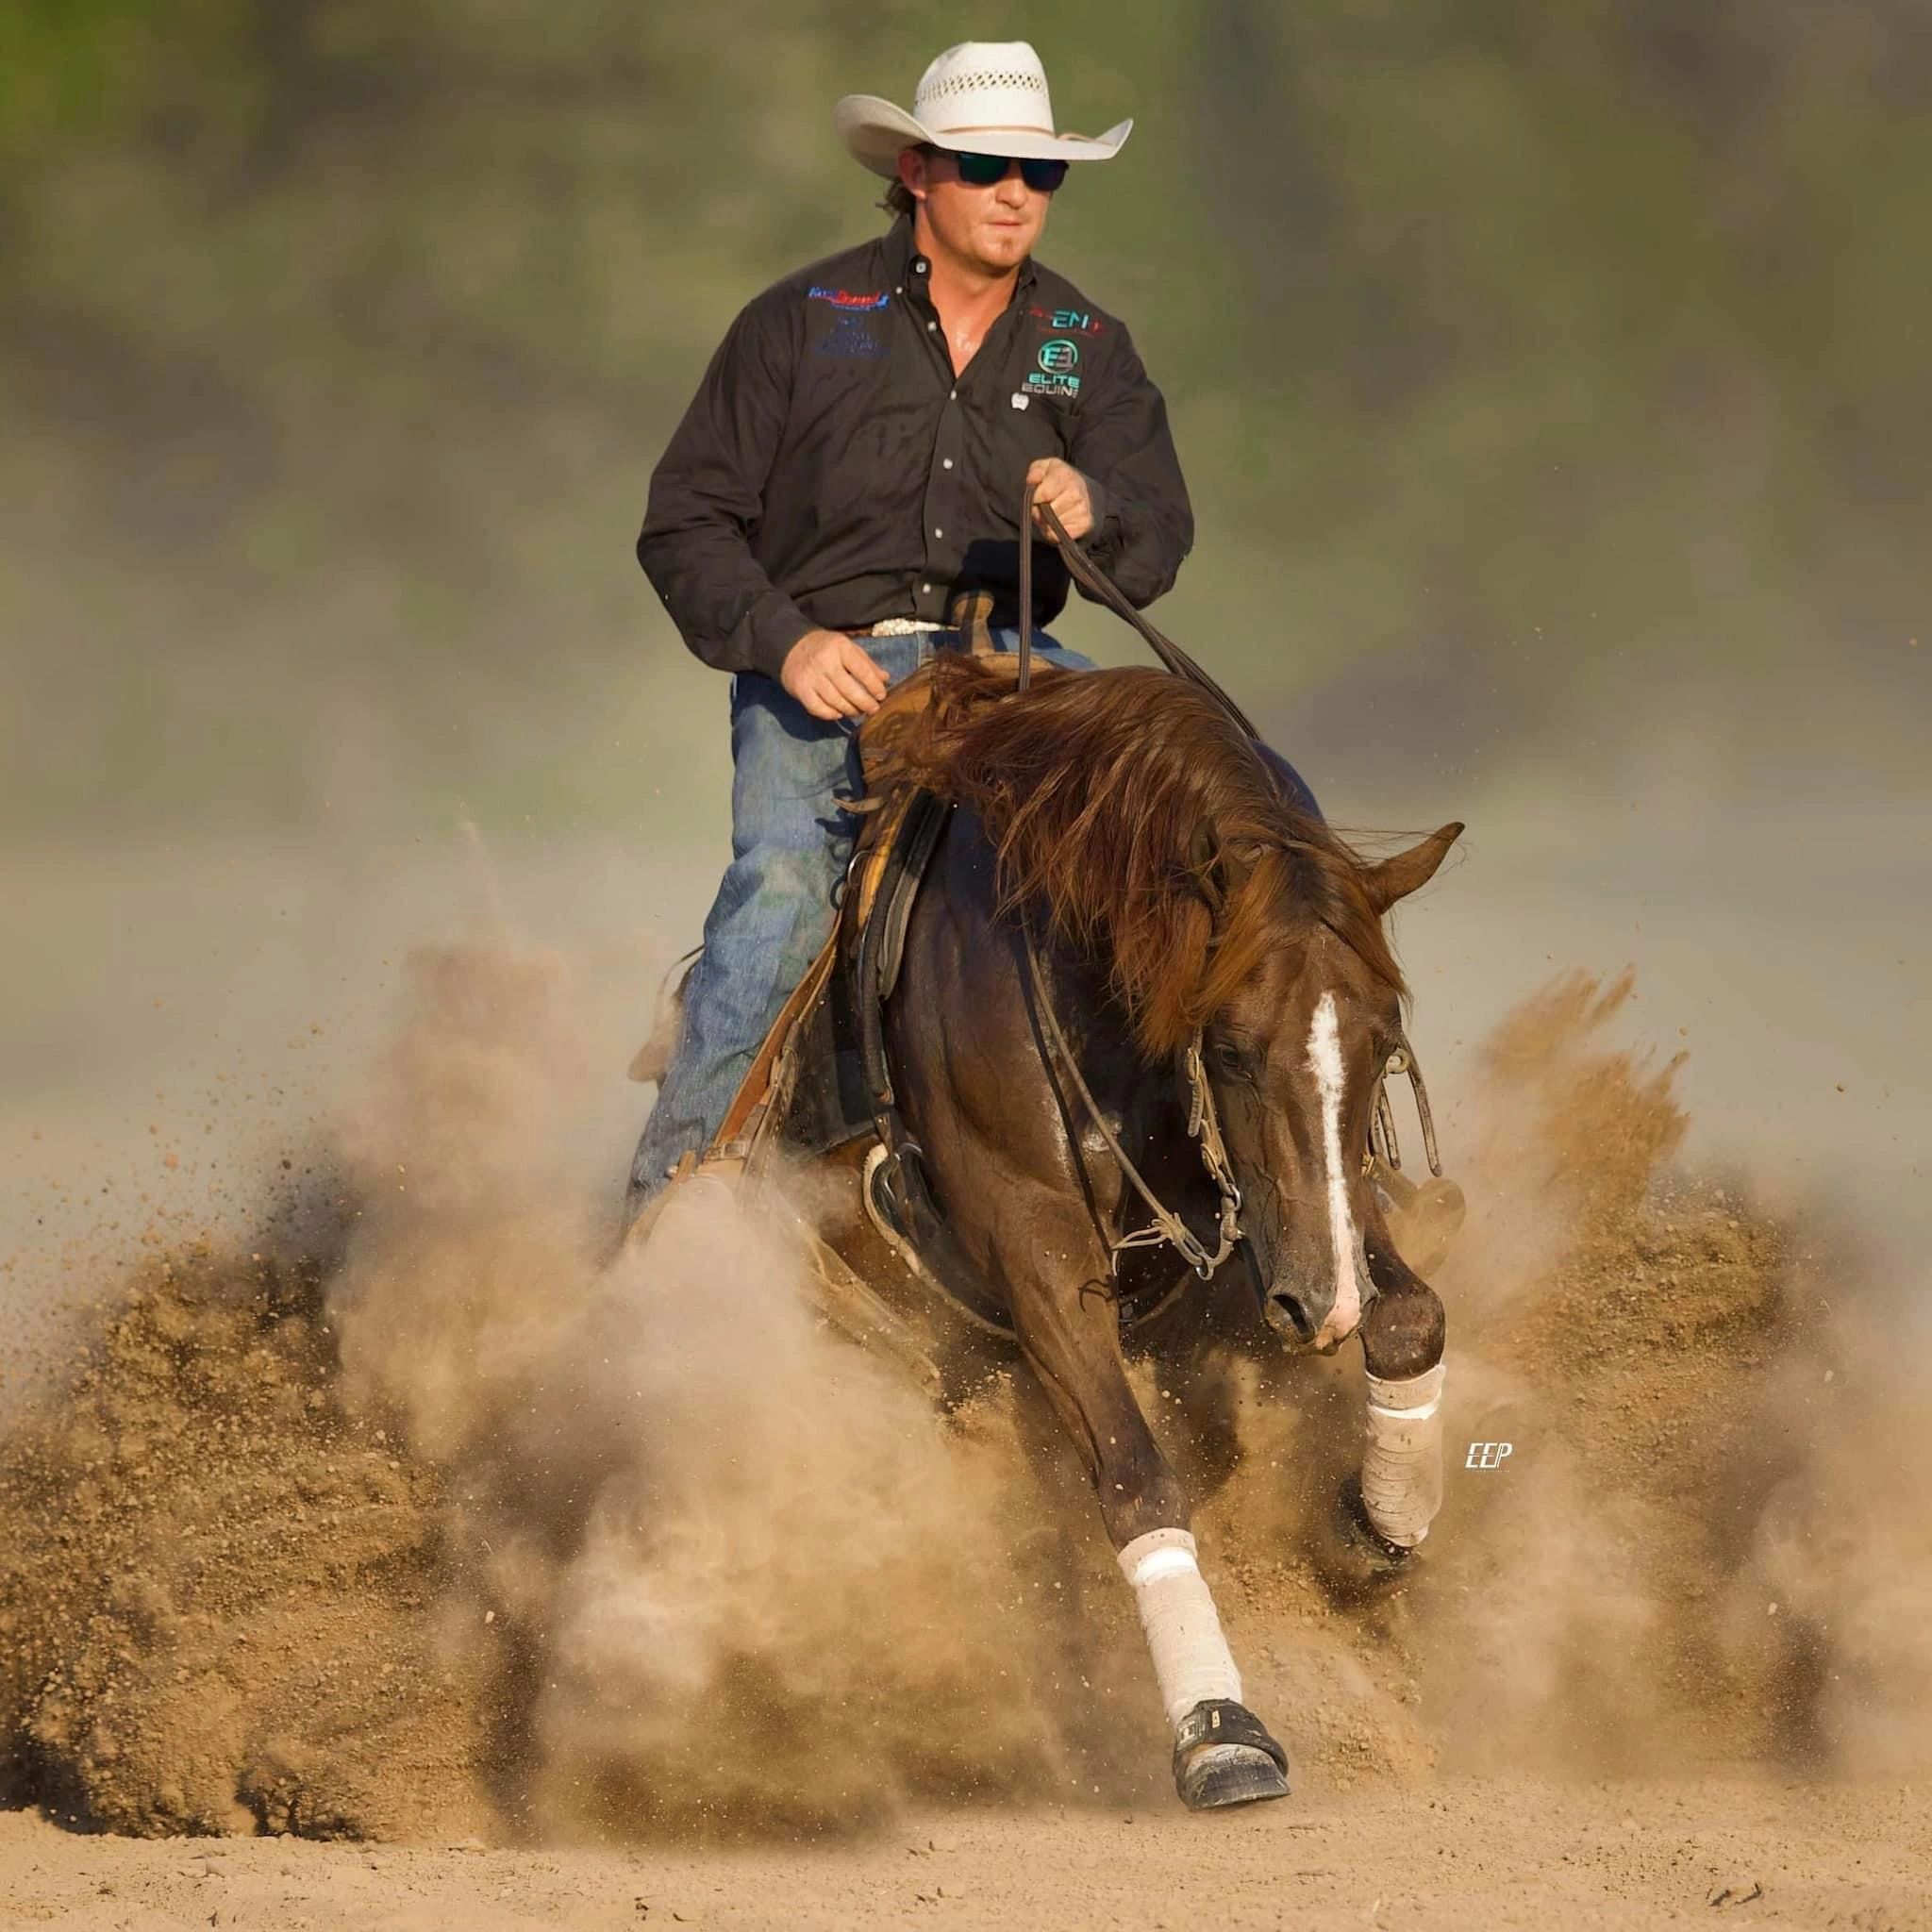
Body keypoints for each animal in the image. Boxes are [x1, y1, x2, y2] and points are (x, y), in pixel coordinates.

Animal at [853, 652, 1463, 1809]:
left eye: (1380, 1042)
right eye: (1227, 1045)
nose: (1322, 1308)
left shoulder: (1304, 1210)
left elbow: (1411, 1318)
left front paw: (1379, 1522)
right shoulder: (1036, 1256)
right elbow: (1136, 1470)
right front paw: (1220, 1728)